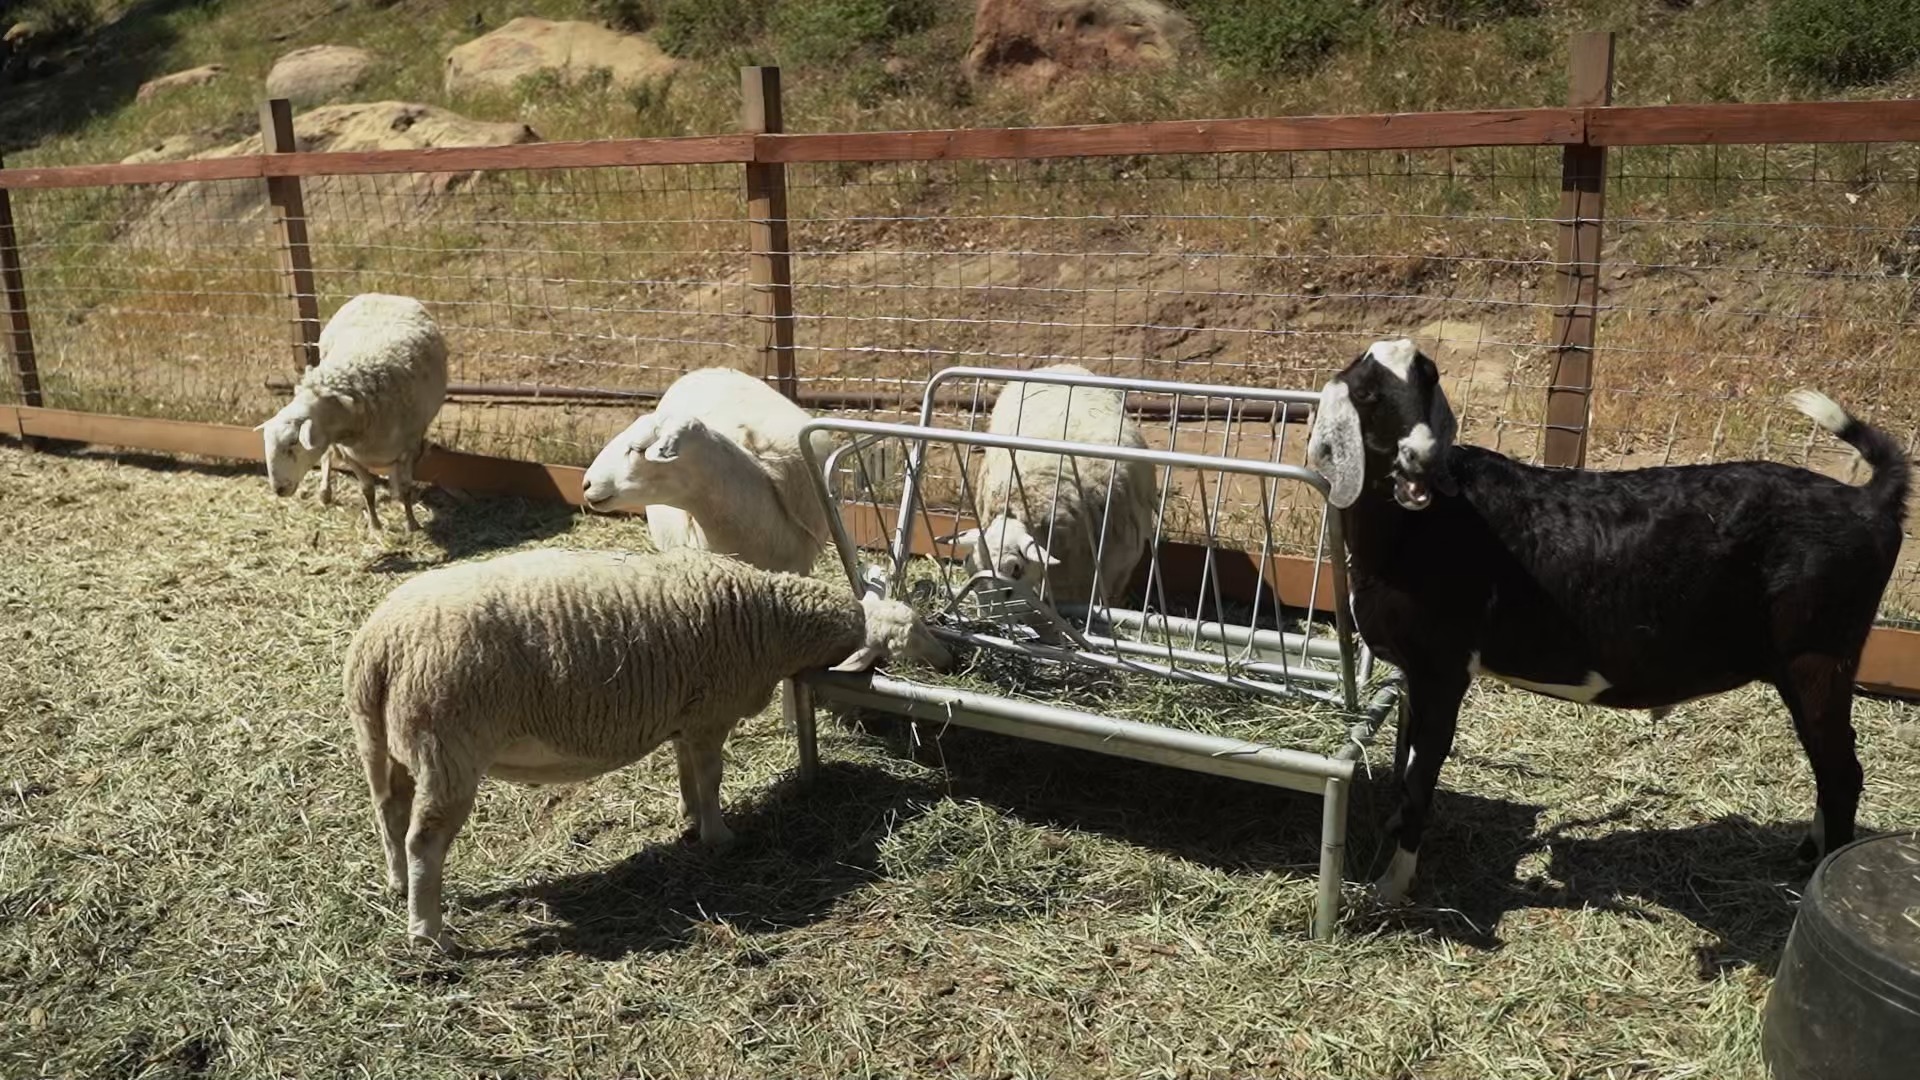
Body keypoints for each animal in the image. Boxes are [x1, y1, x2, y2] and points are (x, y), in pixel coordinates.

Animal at [1306, 339, 1910, 904]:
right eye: (1367, 394)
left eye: (1429, 381)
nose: (1425, 458)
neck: (1418, 527)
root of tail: (1870, 501)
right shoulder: (1417, 670)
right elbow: (1408, 761)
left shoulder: (1444, 667)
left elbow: (1421, 774)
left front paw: (1392, 885)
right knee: (1830, 764)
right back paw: (1809, 851)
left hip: (1817, 656)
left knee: (1842, 771)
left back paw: (1820, 882)